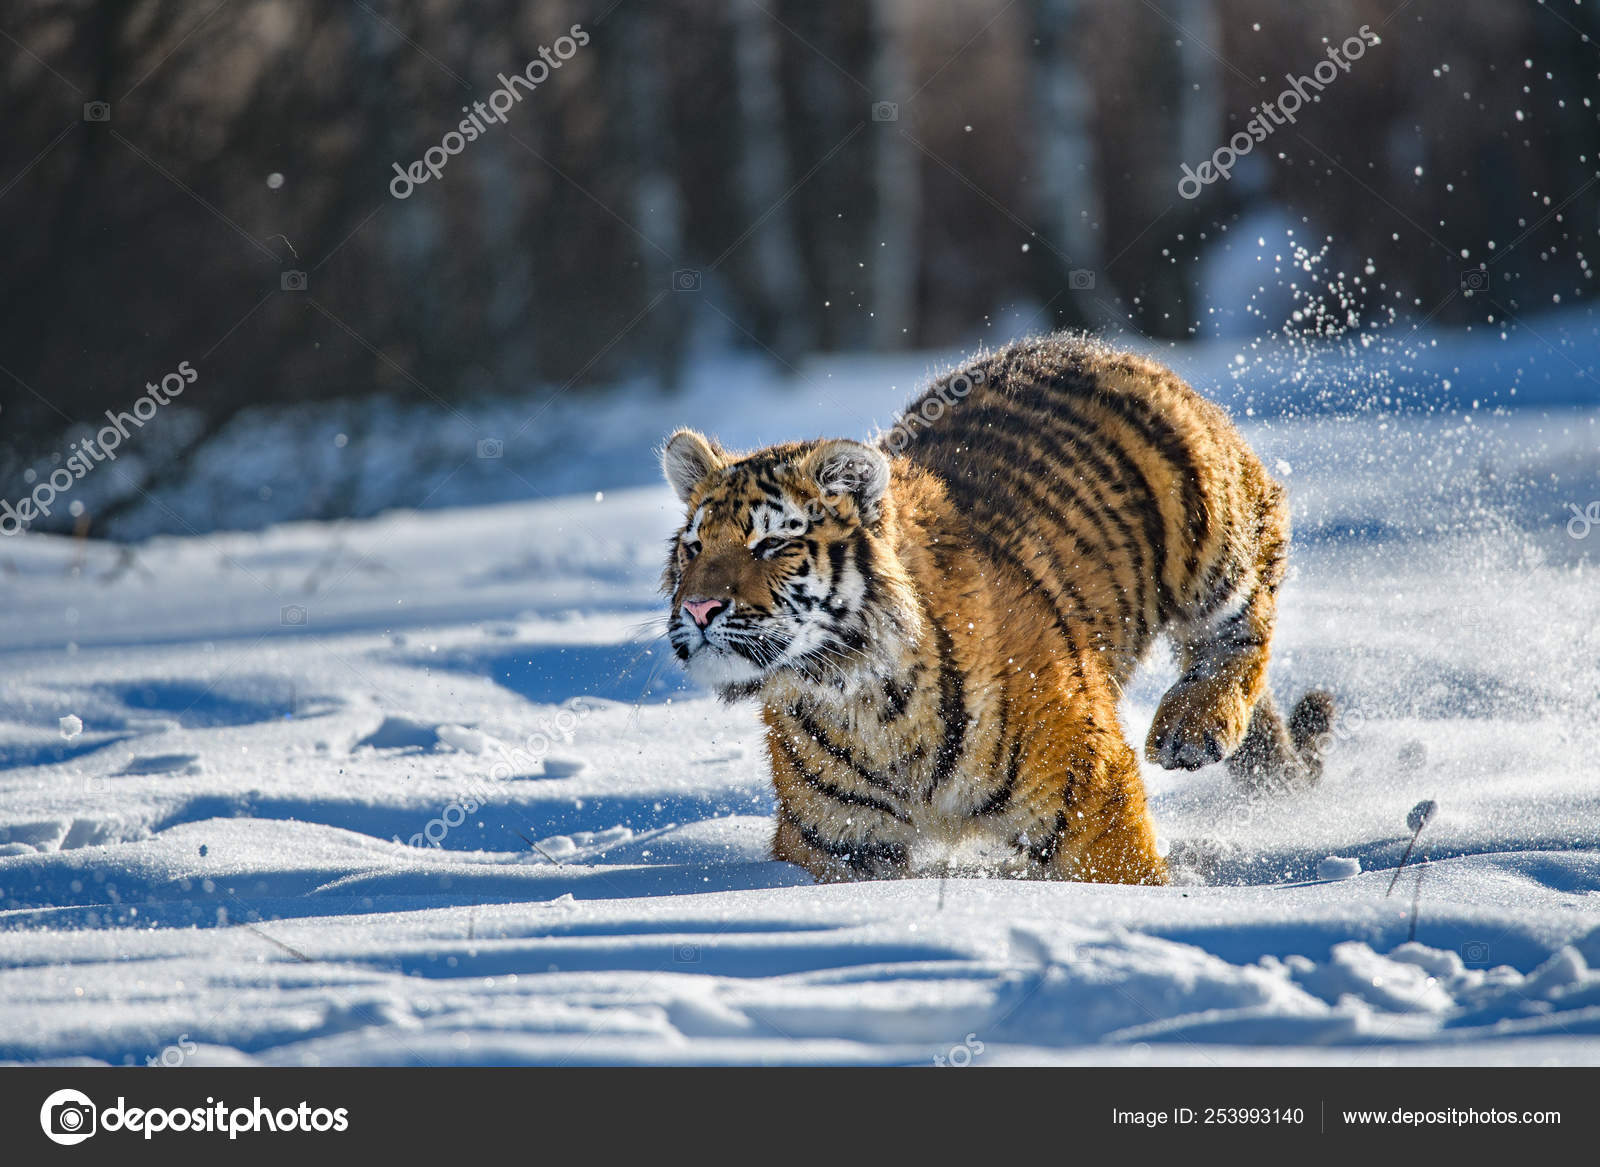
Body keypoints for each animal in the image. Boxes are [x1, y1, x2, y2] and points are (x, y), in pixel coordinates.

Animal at [660, 333, 1333, 885]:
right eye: (694, 546)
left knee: (1244, 625)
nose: (699, 608)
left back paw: (1190, 730)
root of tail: (1094, 345)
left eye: (772, 544)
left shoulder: (1092, 807)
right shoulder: (835, 847)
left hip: (1219, 537)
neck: (863, 703)